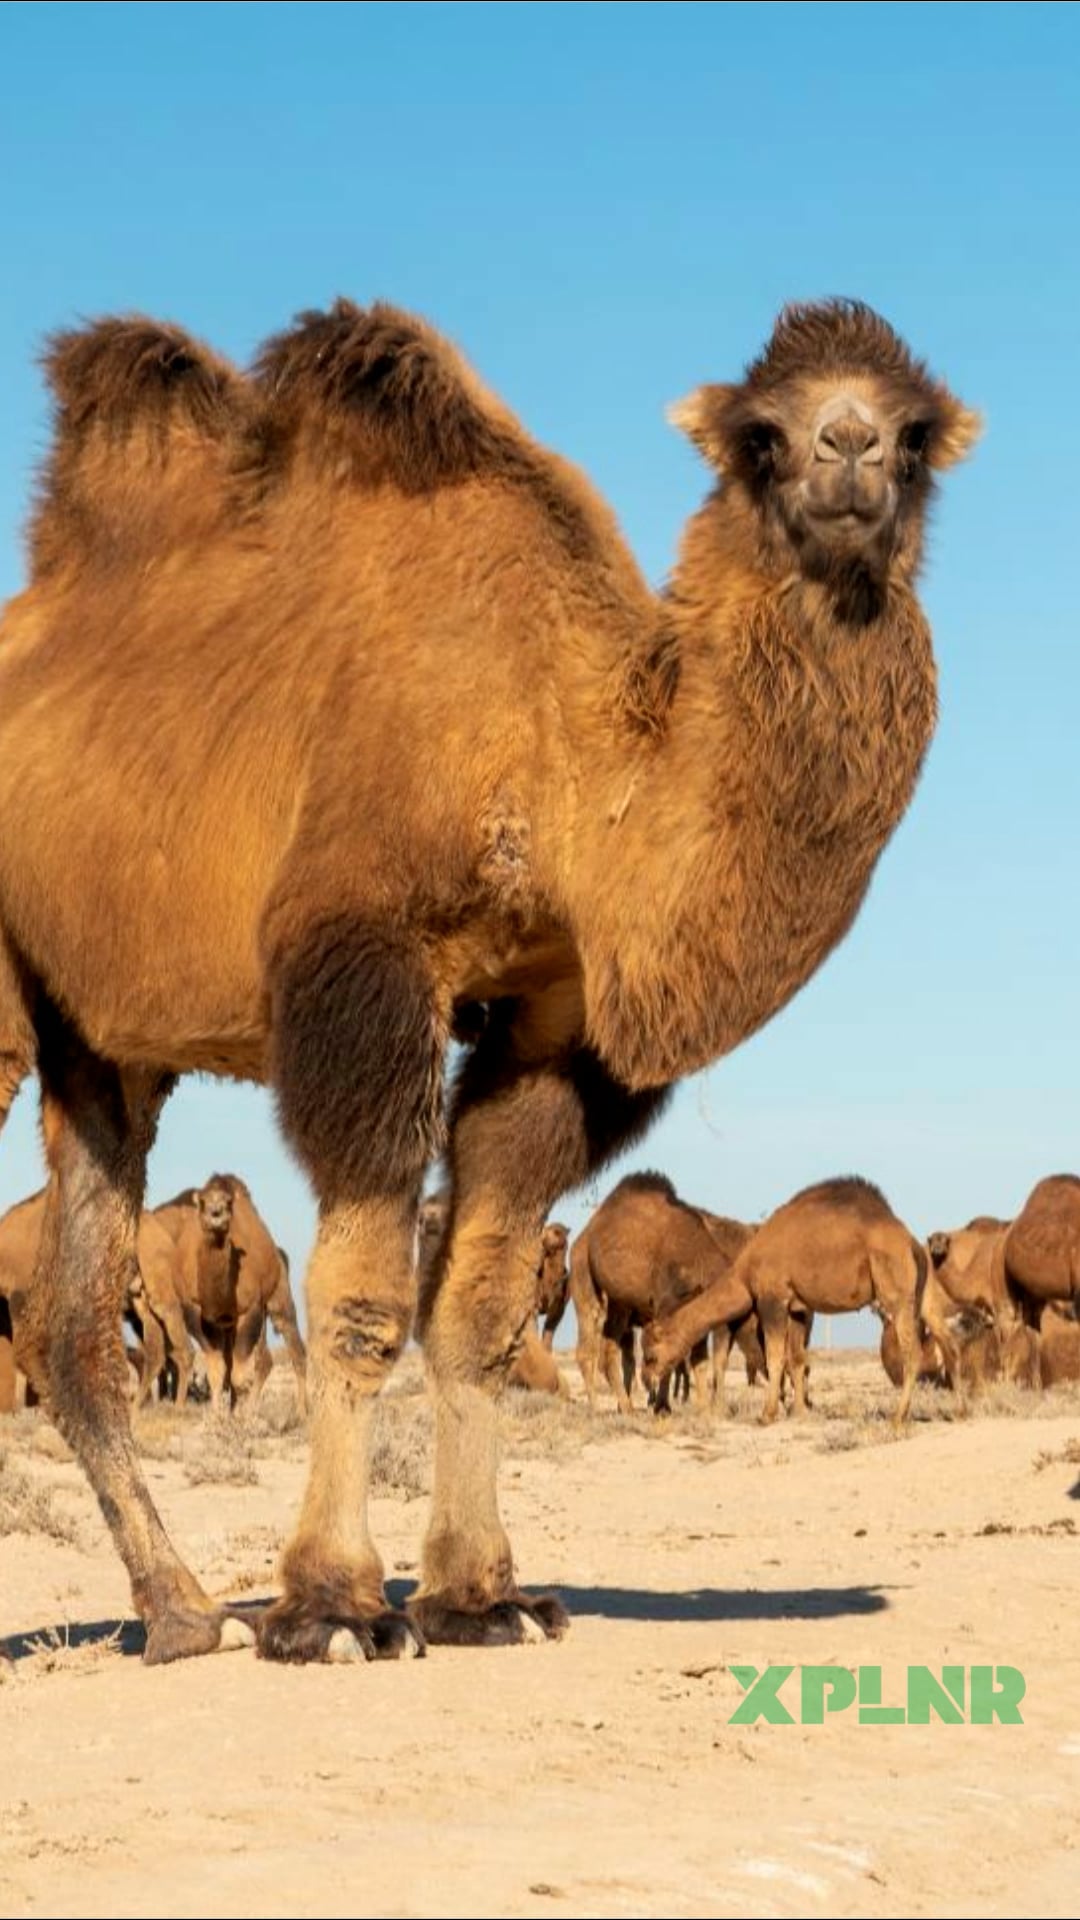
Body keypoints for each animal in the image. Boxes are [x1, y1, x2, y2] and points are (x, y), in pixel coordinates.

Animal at [151, 1175, 307, 1413]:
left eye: (228, 1203)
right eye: (203, 1202)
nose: (217, 1213)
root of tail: (279, 1253)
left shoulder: (250, 1309)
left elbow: (239, 1375)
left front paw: (242, 1416)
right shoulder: (198, 1313)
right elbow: (218, 1370)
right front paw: (218, 1415)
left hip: (279, 1293)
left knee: (292, 1343)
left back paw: (300, 1411)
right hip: (230, 1322)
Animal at [569, 1173, 753, 1412]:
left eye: (651, 1357)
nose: (647, 1379)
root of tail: (583, 1236)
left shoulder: (697, 1312)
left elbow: (698, 1359)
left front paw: (703, 1409)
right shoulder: (666, 1302)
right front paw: (663, 1407)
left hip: (620, 1304)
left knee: (608, 1350)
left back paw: (626, 1407)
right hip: (582, 1269)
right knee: (588, 1341)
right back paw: (600, 1407)